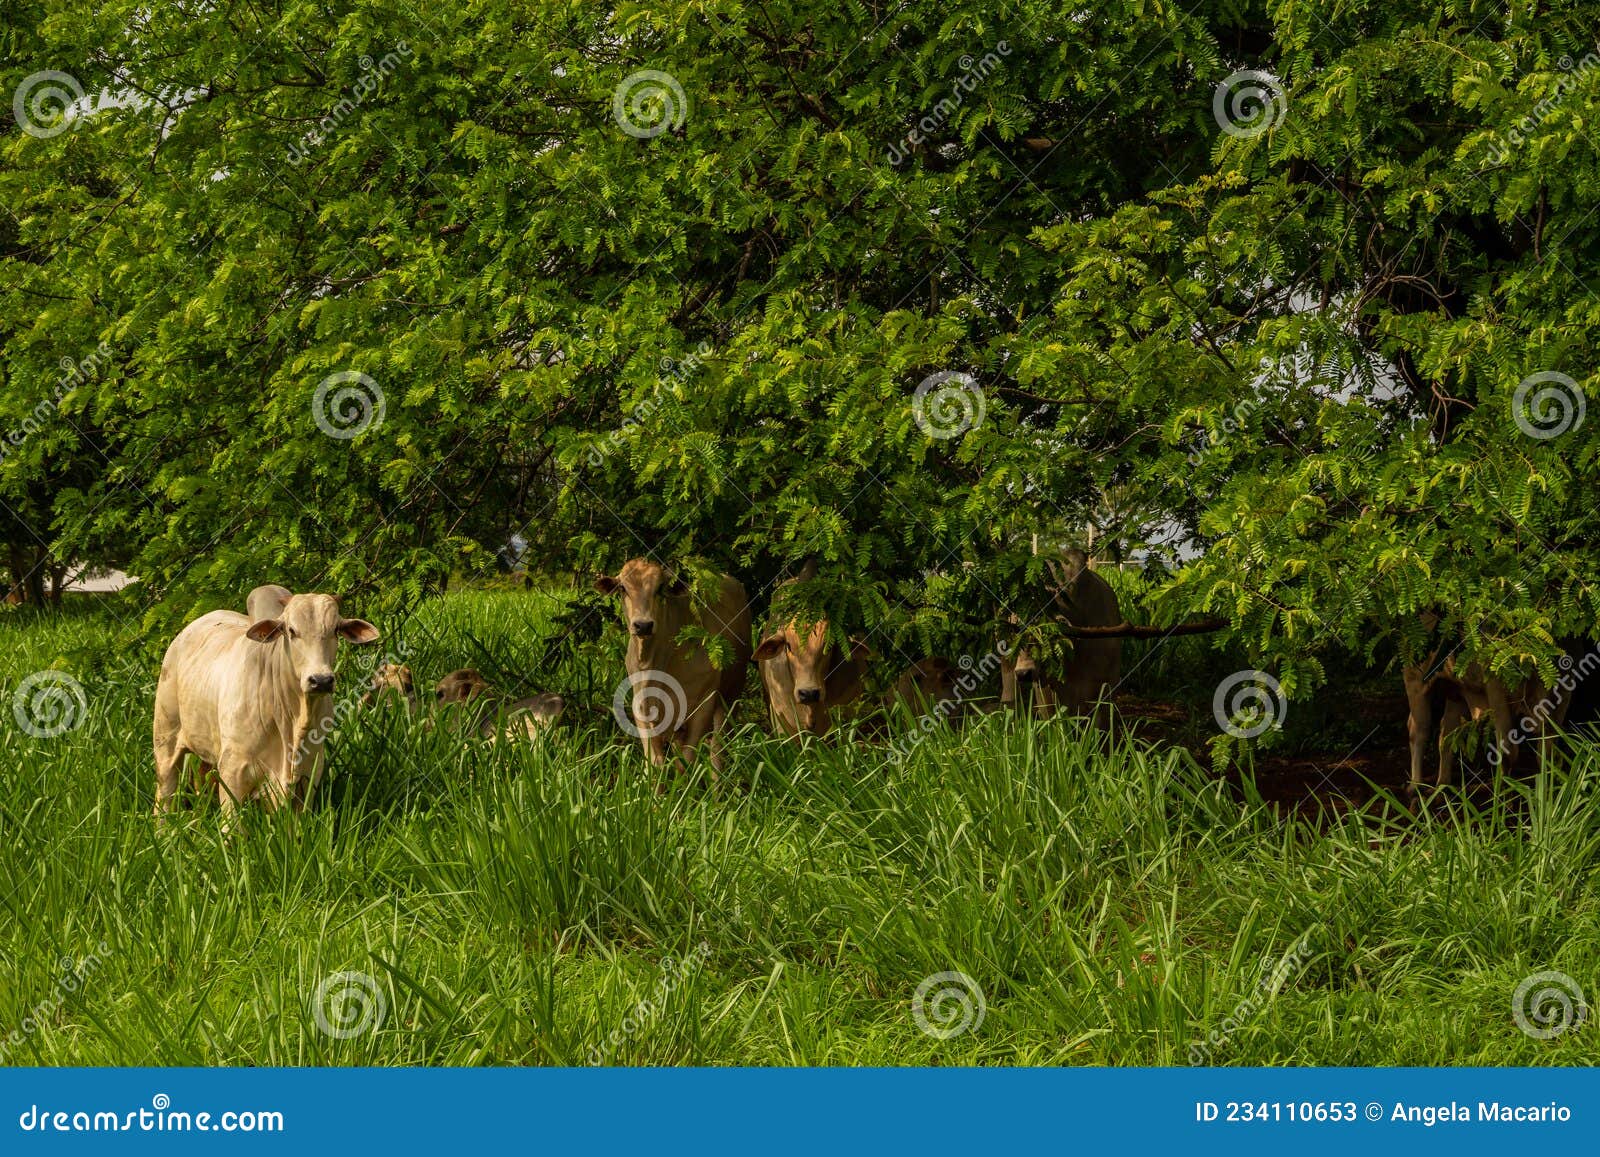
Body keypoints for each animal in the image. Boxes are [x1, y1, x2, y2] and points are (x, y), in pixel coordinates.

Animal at [152, 593, 380, 825]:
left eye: (335, 630)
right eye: (291, 631)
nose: (321, 680)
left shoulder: (309, 773)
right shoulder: (233, 770)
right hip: (165, 737)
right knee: (165, 791)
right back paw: (162, 828)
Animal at [594, 559, 752, 771]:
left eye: (660, 588)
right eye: (622, 588)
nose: (643, 625)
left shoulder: (704, 704)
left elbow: (686, 761)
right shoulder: (642, 706)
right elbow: (655, 761)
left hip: (730, 695)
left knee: (717, 749)